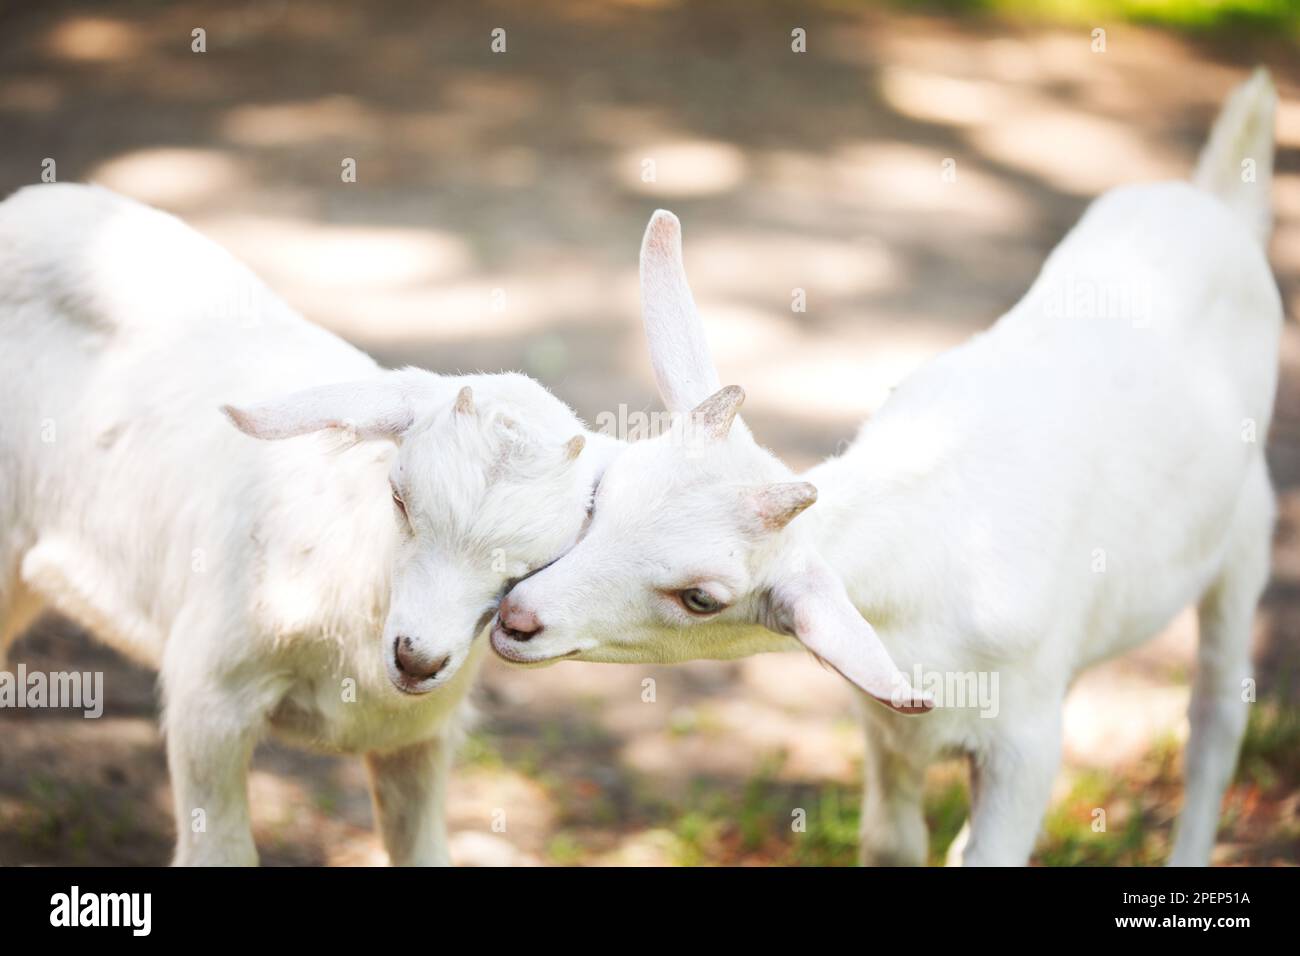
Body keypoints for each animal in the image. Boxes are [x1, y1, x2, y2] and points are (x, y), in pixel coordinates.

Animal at [0, 183, 614, 865]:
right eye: (399, 497)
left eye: (540, 562)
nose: (417, 660)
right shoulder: (207, 703)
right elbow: (221, 851)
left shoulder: (419, 738)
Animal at [492, 71, 1281, 866]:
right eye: (600, 499)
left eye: (702, 598)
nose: (516, 619)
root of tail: (1217, 203)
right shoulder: (891, 727)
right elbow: (892, 842)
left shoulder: (1025, 748)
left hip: (1246, 537)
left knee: (1217, 715)